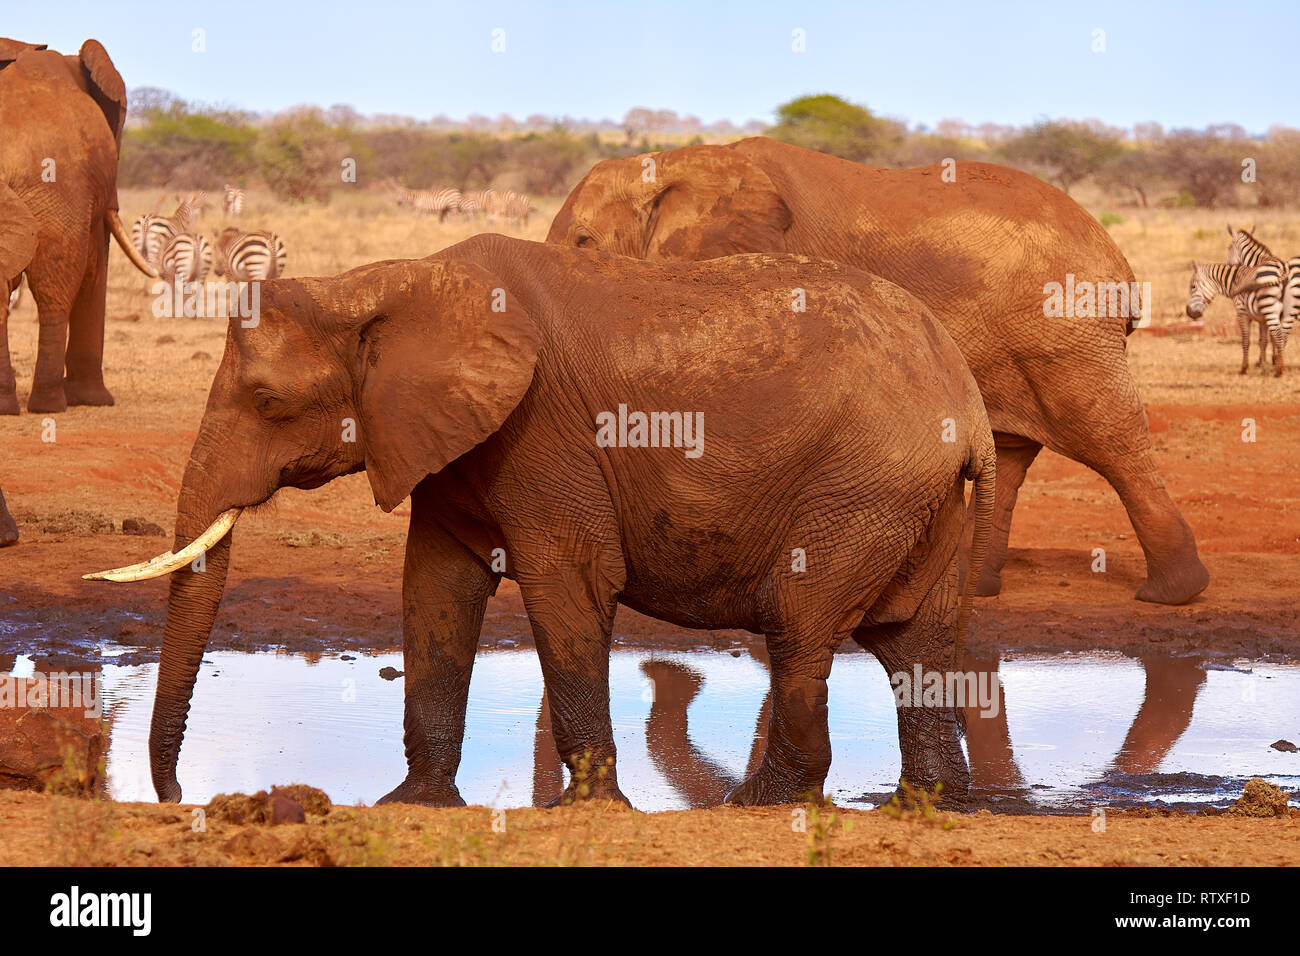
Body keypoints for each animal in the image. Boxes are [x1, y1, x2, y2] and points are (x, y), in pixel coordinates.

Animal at [0, 37, 157, 414]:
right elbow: (95, 264)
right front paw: (96, 401)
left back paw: (17, 406)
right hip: (60, 187)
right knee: (58, 286)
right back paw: (51, 405)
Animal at [86, 234, 996, 808]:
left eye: (268, 401)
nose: (175, 796)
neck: (387, 283)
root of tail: (968, 399)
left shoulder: (540, 432)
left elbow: (570, 584)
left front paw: (591, 810)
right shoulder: (448, 442)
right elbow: (437, 589)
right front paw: (409, 804)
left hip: (861, 485)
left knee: (801, 623)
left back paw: (758, 807)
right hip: (911, 497)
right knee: (912, 641)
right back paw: (927, 804)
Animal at [546, 137, 1209, 606]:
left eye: (582, 242)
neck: (668, 161)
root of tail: (1118, 262)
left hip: (1064, 332)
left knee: (1110, 439)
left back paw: (1171, 594)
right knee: (1012, 451)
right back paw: (971, 586)